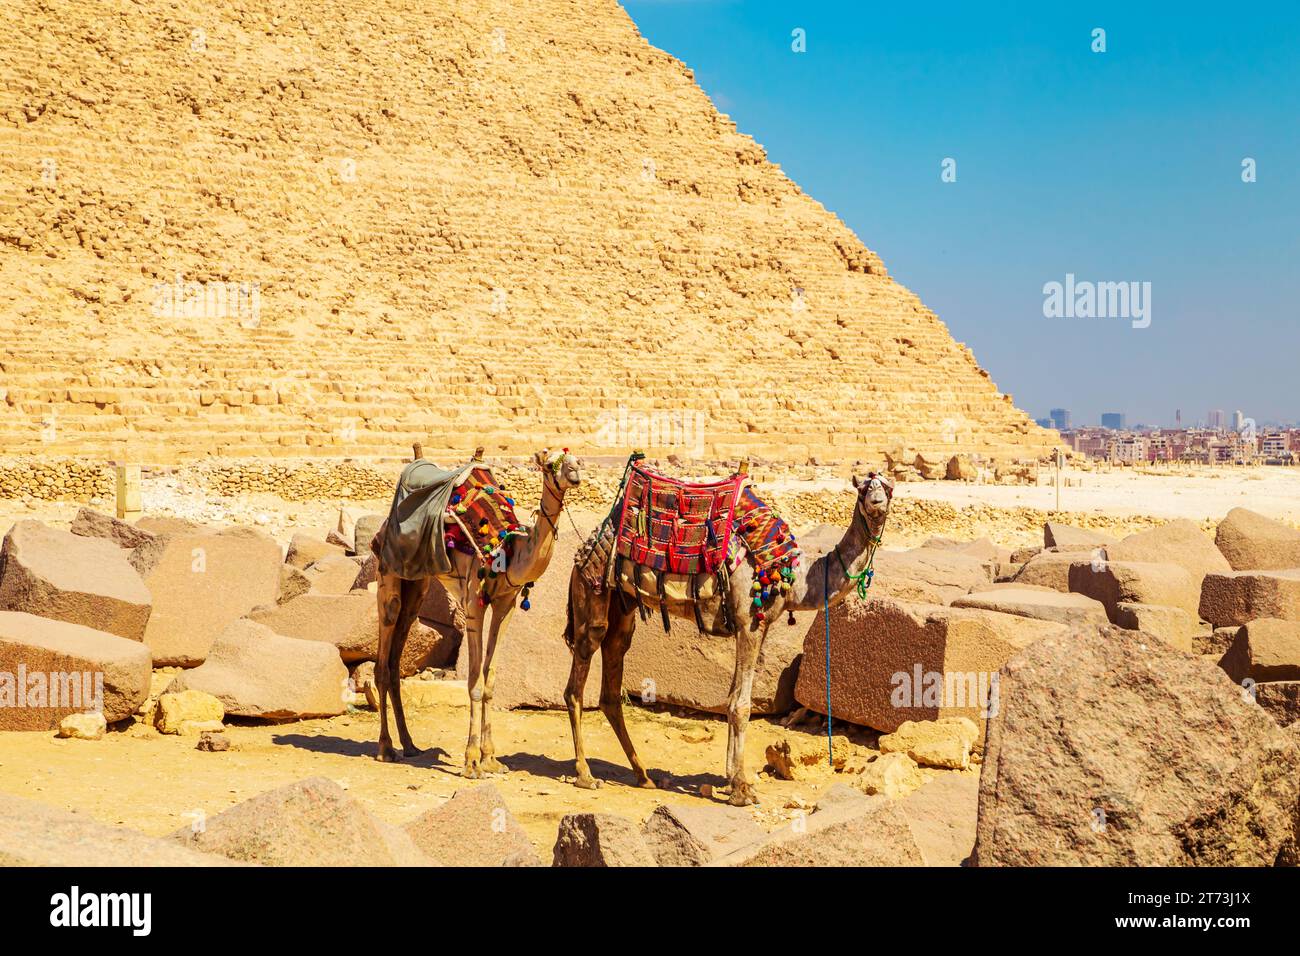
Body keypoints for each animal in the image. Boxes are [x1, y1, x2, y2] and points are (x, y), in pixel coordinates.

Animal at [371, 448, 582, 777]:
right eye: (551, 465)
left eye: (576, 459)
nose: (574, 474)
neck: (507, 550)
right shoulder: (473, 604)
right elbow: (474, 683)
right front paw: (471, 761)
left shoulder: (506, 605)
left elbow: (490, 680)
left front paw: (491, 758)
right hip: (388, 575)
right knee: (383, 657)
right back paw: (385, 748)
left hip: (416, 584)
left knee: (395, 659)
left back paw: (410, 745)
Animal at [563, 470, 893, 806]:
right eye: (863, 489)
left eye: (889, 488)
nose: (877, 502)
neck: (792, 578)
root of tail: (585, 547)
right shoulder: (749, 623)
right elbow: (740, 705)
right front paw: (741, 788)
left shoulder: (757, 626)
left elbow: (733, 698)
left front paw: (731, 779)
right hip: (592, 592)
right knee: (578, 679)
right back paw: (585, 775)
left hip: (623, 606)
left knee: (612, 677)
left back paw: (643, 776)